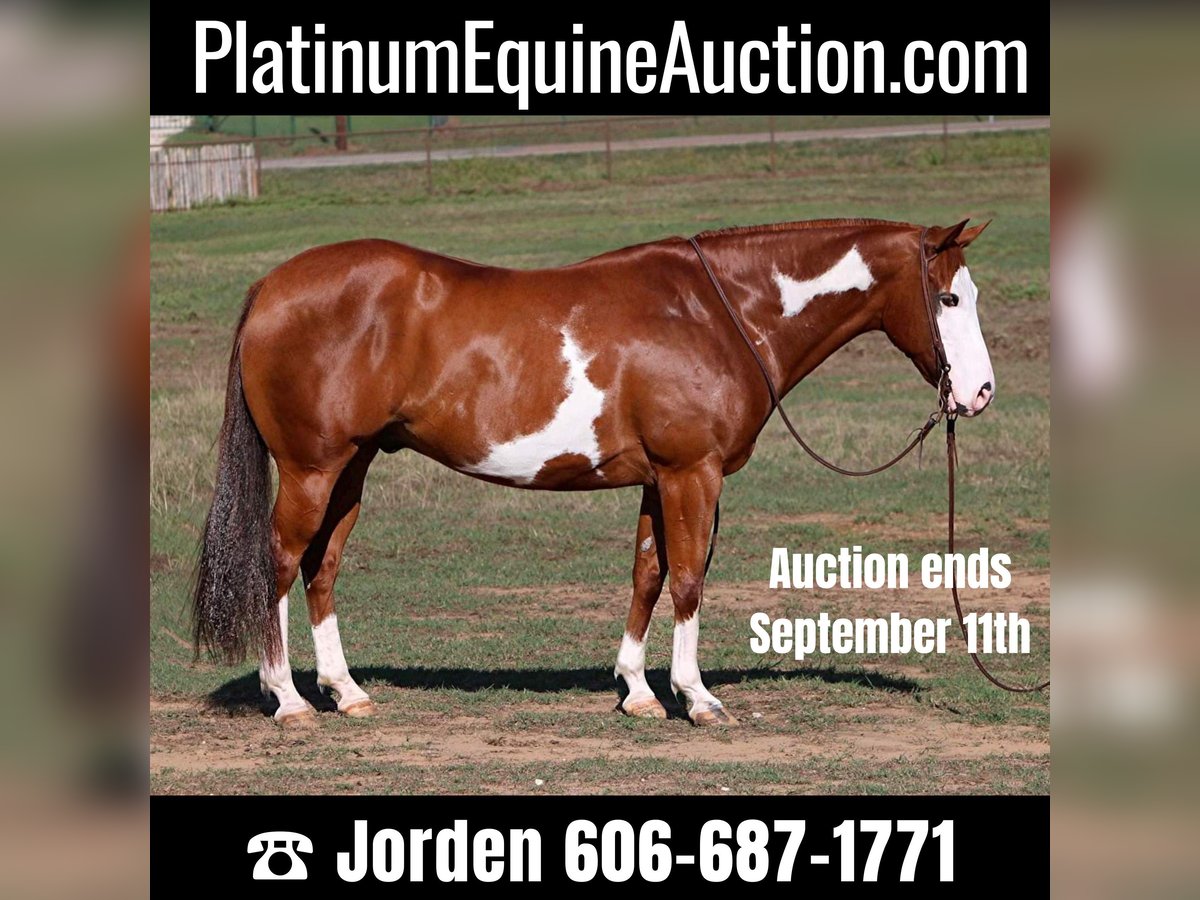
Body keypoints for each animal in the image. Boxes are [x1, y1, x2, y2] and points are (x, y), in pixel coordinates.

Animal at [192, 217, 994, 726]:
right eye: (948, 296)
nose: (980, 393)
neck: (717, 312)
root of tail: (272, 287)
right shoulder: (692, 474)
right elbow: (689, 579)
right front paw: (698, 698)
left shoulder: (657, 478)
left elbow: (647, 574)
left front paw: (637, 691)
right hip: (311, 469)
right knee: (280, 562)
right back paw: (289, 700)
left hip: (350, 469)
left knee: (321, 566)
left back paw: (345, 691)